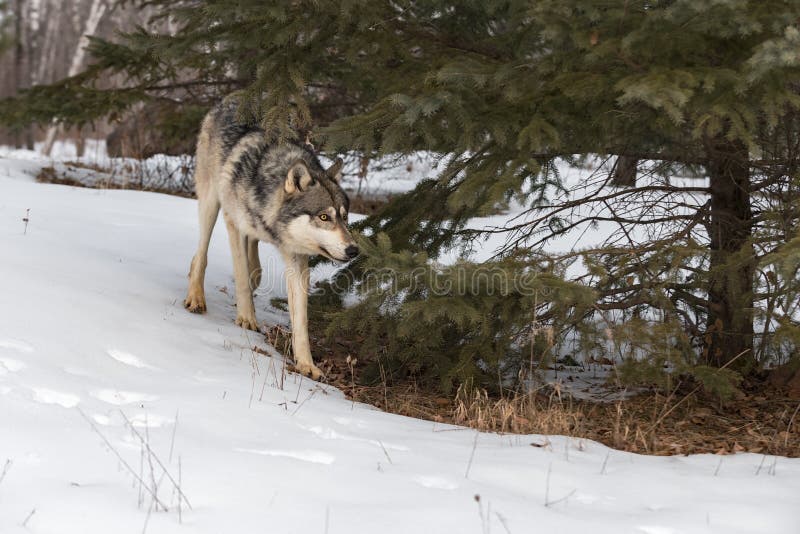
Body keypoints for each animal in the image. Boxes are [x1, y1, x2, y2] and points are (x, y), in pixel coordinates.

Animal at [184, 95, 359, 380]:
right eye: (324, 217)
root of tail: (234, 97)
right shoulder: (233, 223)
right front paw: (247, 318)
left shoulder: (298, 258)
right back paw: (196, 296)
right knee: (201, 252)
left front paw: (306, 365)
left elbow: (301, 320)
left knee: (252, 259)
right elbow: (240, 275)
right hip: (211, 203)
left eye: (345, 217)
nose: (354, 250)